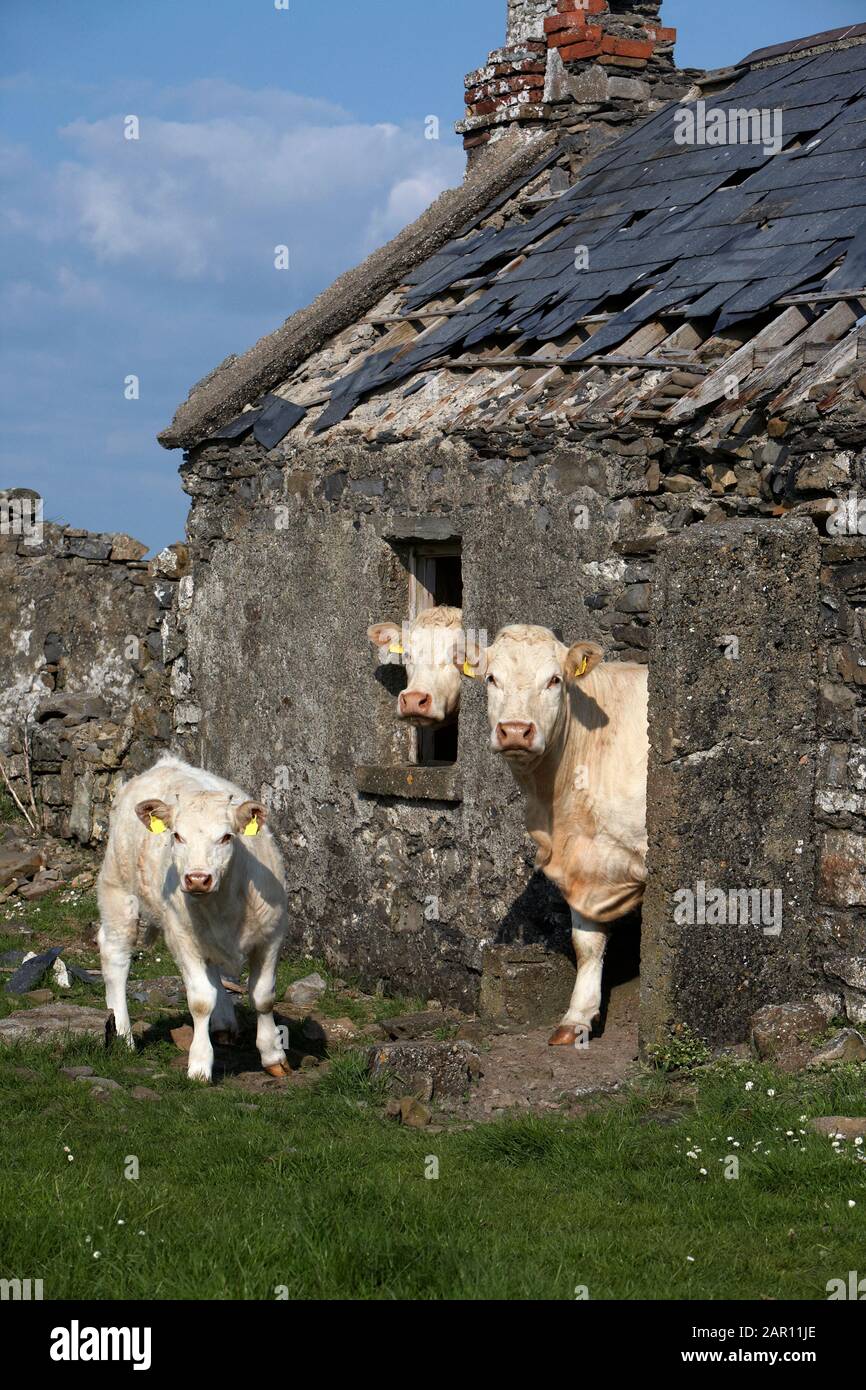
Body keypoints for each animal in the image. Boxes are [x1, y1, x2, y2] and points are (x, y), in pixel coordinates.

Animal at [96, 754, 290, 1082]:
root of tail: (163, 764)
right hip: (118, 890)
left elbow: (263, 995)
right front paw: (200, 1064)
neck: (223, 904)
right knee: (115, 955)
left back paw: (223, 1022)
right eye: (177, 835)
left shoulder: (272, 934)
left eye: (226, 837)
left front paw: (273, 1056)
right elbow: (200, 1000)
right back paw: (122, 1034)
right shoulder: (182, 938)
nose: (197, 878)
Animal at [458, 624, 647, 1047]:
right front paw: (577, 1018)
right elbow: (587, 944)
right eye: (491, 678)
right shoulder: (580, 858)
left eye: (554, 680)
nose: (515, 731)